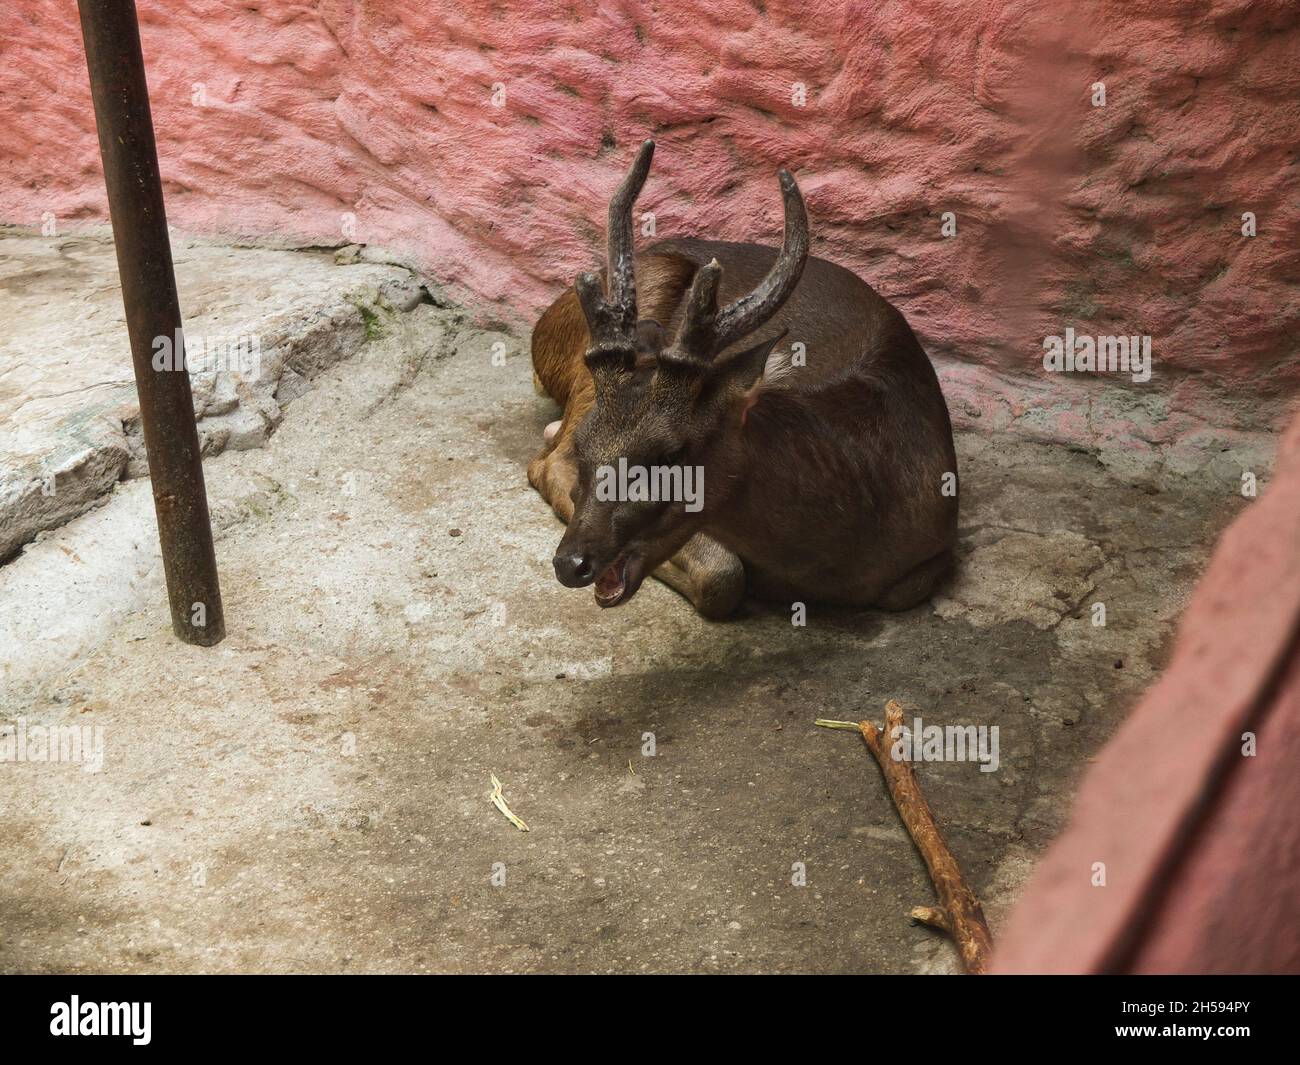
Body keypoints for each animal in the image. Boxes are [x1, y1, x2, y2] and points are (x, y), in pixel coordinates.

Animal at [527, 140, 958, 620]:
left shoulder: (934, 552)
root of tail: (543, 326)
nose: (571, 563)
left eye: (671, 454)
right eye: (590, 445)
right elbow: (724, 577)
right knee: (546, 461)